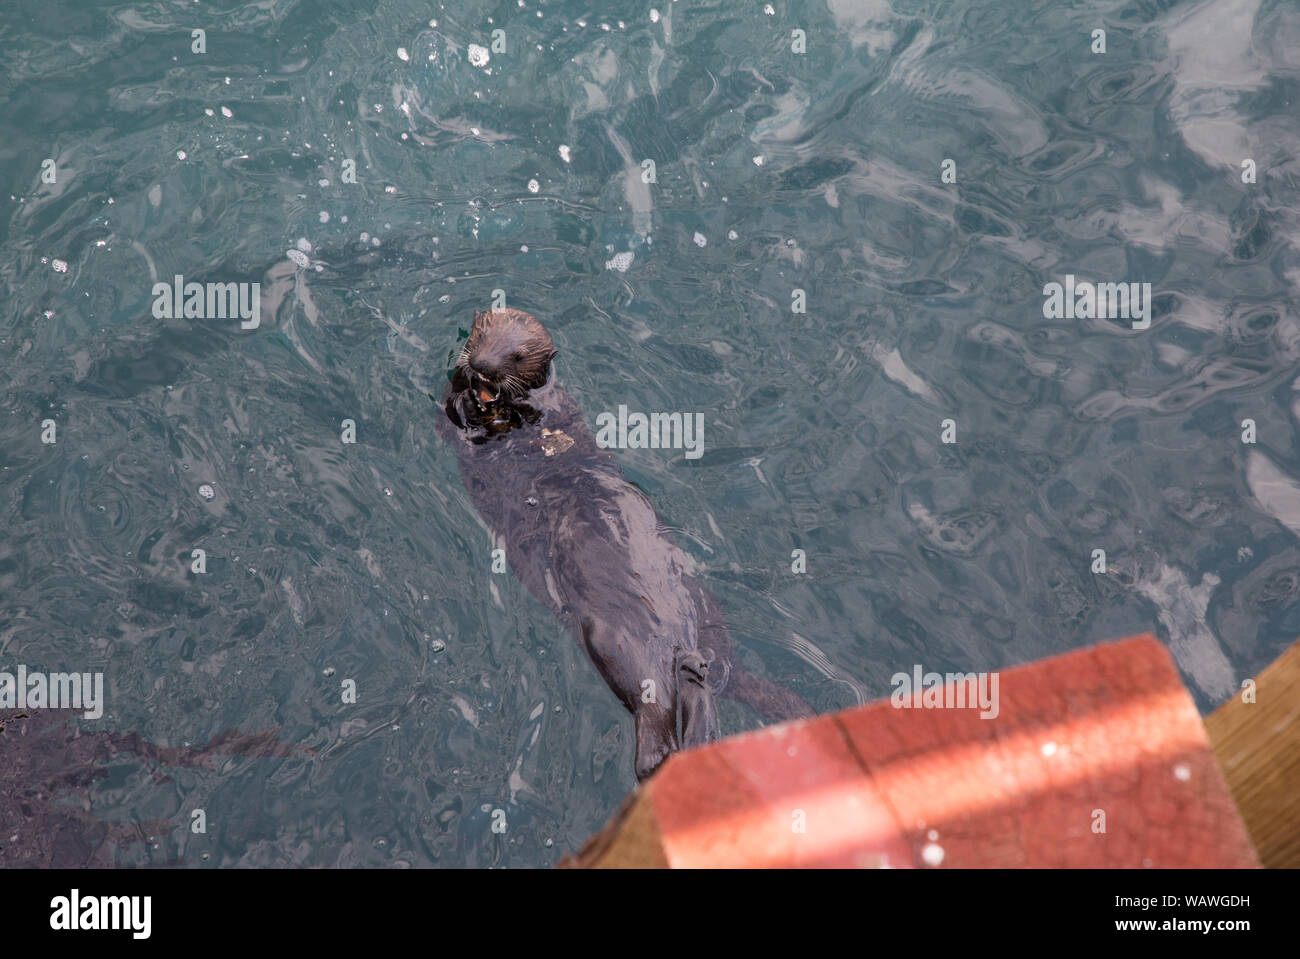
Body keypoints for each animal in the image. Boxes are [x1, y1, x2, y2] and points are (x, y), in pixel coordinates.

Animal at [434, 307, 812, 780]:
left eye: (517, 356)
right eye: (481, 337)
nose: (484, 368)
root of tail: (685, 641)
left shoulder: (554, 407)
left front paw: (505, 405)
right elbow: (450, 412)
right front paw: (472, 397)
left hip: (618, 646)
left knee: (657, 716)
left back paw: (659, 757)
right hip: (703, 617)